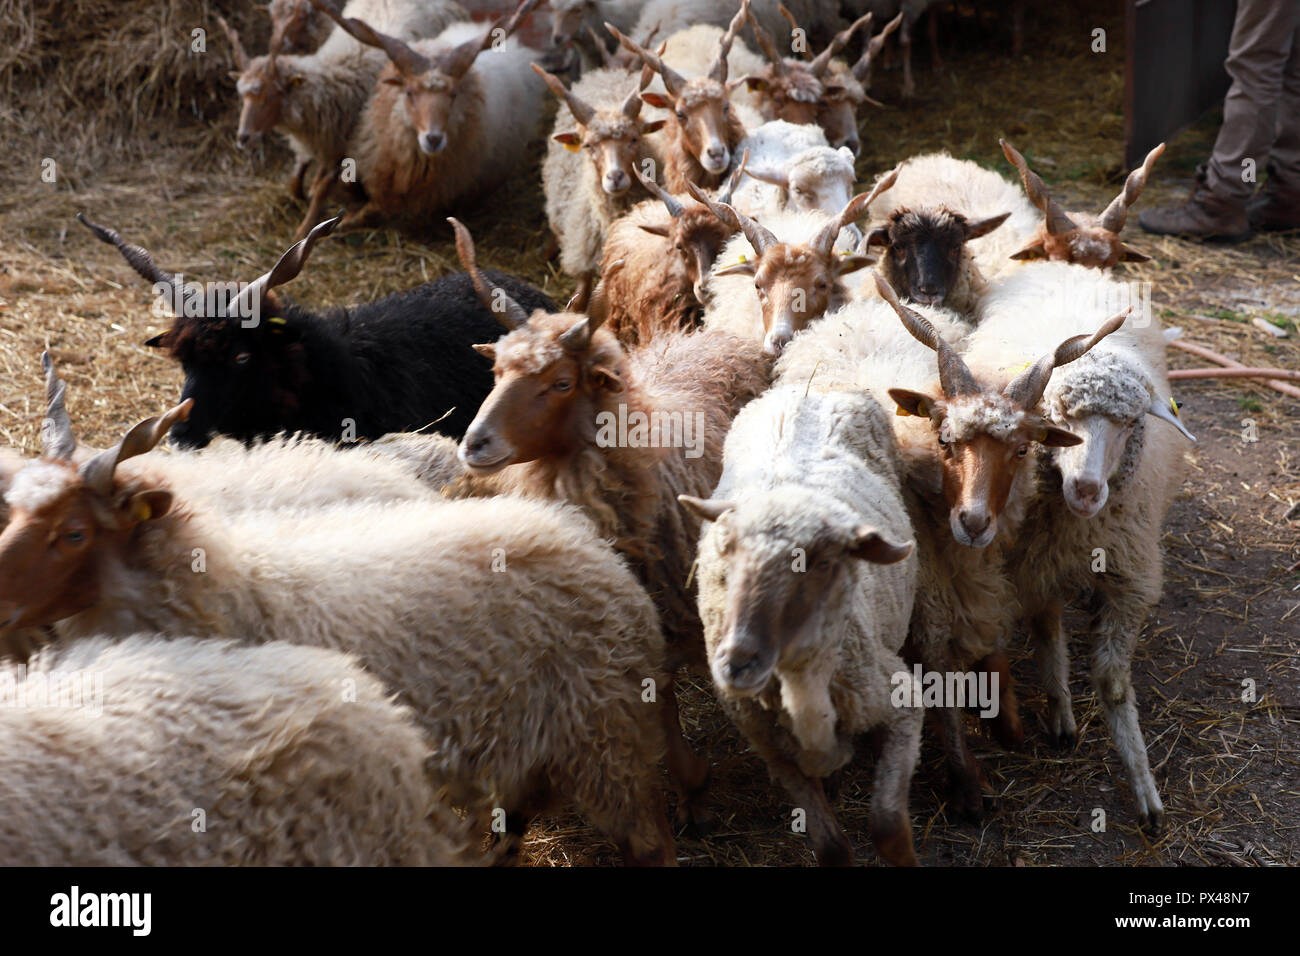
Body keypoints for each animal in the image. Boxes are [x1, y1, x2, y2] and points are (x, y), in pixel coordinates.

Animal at [447, 218, 772, 830]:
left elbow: (663, 696)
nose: (474, 444)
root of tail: (715, 338)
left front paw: (693, 788)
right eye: (496, 371)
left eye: (561, 383)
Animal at [680, 384, 921, 865]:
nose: (738, 663)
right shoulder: (777, 755)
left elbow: (888, 829)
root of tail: (807, 386)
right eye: (727, 551)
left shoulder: (901, 702)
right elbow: (832, 849)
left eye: (825, 562)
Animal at [962, 261, 1193, 829]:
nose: (1087, 490)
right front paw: (1061, 711)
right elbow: (1048, 633)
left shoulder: (1129, 581)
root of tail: (1064, 263)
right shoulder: (1034, 566)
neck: (1080, 529)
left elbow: (1113, 685)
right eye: (1058, 419)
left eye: (1130, 423)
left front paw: (1144, 786)